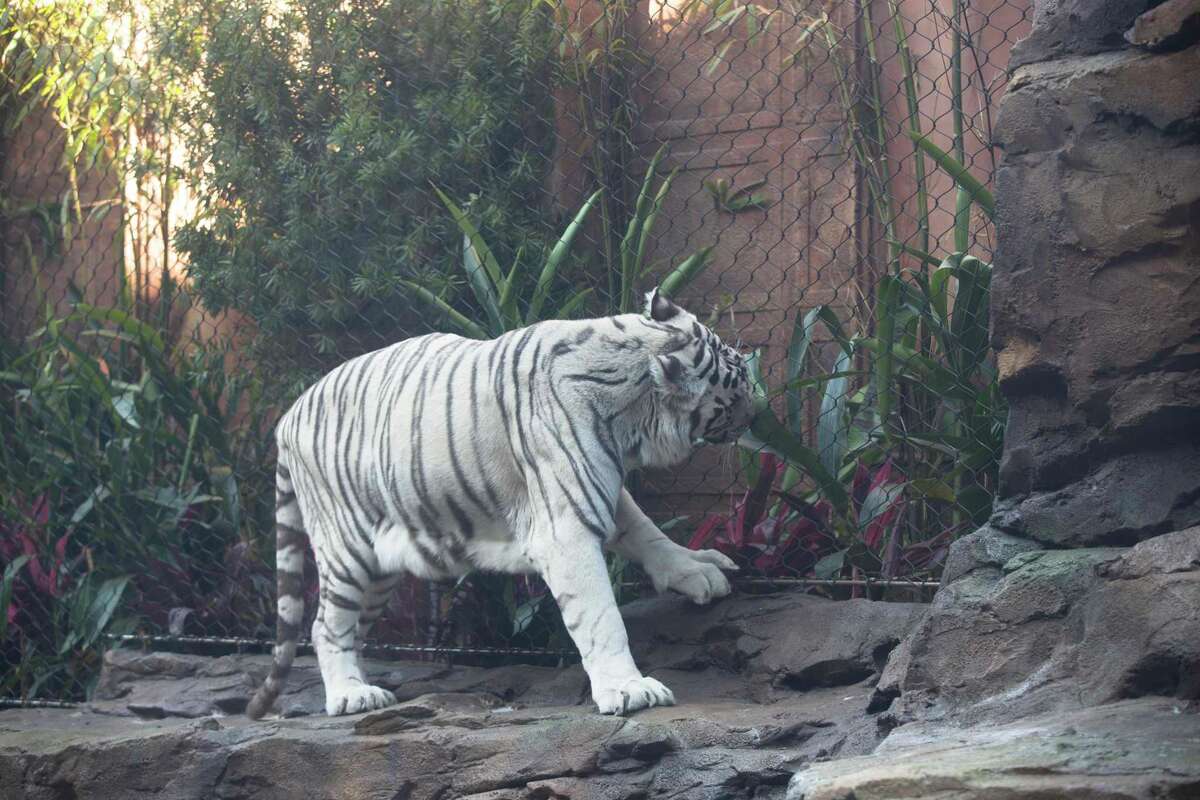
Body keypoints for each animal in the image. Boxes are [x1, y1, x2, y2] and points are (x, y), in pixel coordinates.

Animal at [245, 288, 754, 719]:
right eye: (738, 388)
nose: (758, 408)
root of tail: (288, 417)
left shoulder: (598, 488)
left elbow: (645, 530)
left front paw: (700, 570)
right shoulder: (564, 526)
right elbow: (601, 614)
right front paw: (629, 689)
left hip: (381, 565)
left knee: (351, 625)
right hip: (347, 548)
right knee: (324, 626)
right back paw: (352, 695)